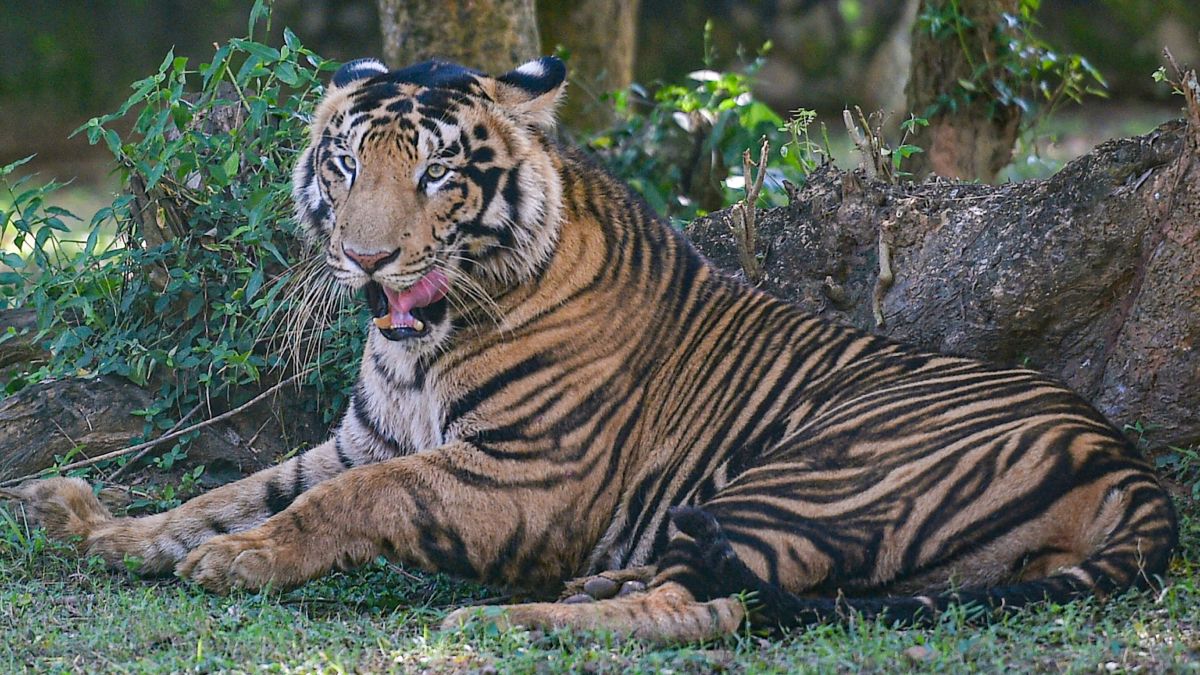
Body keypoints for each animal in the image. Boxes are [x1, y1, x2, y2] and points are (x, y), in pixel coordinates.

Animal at [5, 55, 1177, 644]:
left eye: (436, 173)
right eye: (344, 164)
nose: (366, 258)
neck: (426, 340)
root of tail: (1128, 467)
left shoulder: (532, 475)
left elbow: (347, 503)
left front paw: (237, 562)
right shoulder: (360, 438)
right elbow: (238, 490)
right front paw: (102, 527)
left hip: (821, 469)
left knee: (730, 607)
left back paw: (504, 624)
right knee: (733, 591)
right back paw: (580, 595)